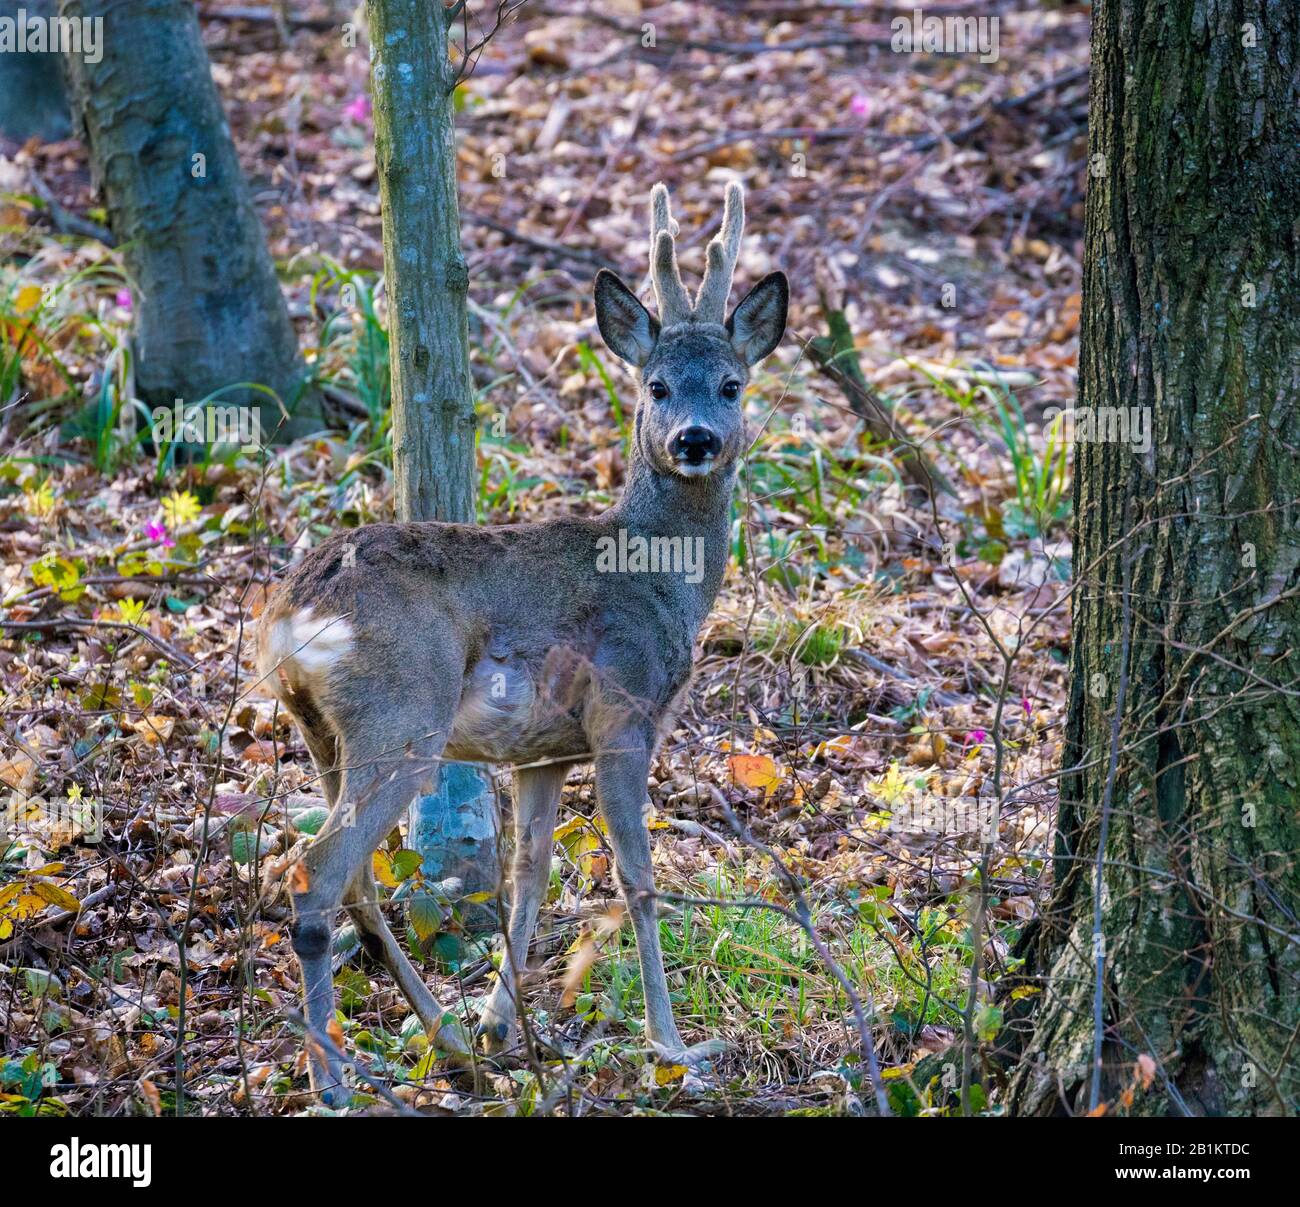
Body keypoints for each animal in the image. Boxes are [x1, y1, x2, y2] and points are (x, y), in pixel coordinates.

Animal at [257, 182, 787, 1103]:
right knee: (313, 872)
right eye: (655, 385)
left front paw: (500, 1025)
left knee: (355, 879)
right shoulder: (622, 716)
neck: (656, 573)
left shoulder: (545, 750)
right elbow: (638, 879)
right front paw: (674, 1046)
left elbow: (526, 877)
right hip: (401, 716)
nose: (695, 439)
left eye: (731, 383)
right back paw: (332, 1082)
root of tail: (293, 609)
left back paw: (449, 1042)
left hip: (322, 730)